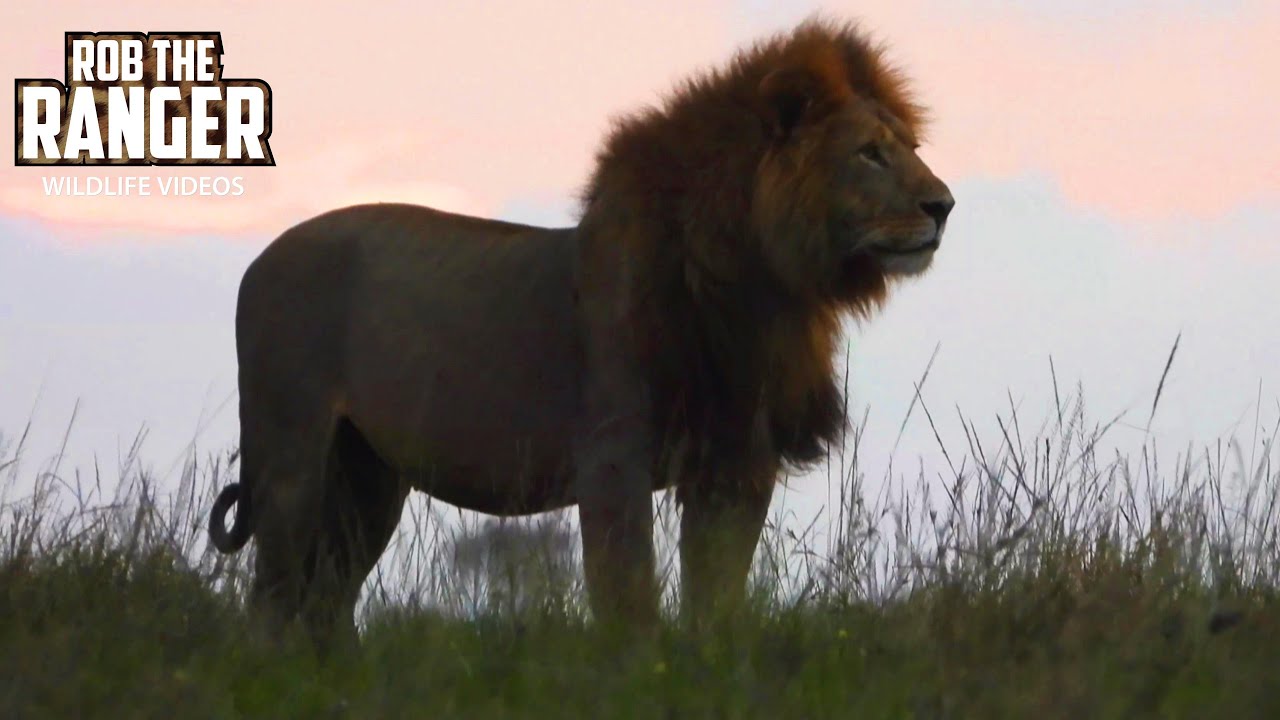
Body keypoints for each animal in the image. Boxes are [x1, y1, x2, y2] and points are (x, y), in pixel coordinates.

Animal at [209, 17, 953, 646]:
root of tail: (258, 260)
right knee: (270, 596)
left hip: (368, 475)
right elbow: (627, 589)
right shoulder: (613, 454)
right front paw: (638, 669)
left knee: (326, 597)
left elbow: (716, 588)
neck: (763, 285)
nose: (943, 204)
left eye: (913, 149)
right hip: (291, 453)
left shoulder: (736, 458)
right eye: (869, 154)